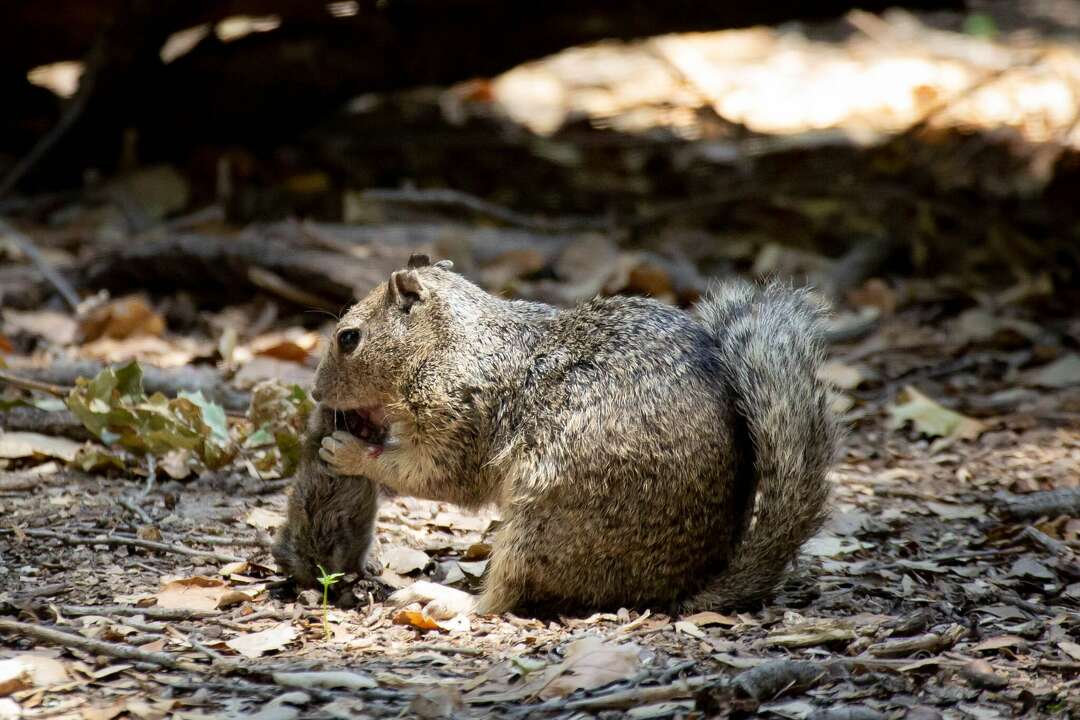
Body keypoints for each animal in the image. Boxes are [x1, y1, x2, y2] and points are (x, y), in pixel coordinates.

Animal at [273, 254, 840, 617]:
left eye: (349, 338)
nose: (318, 393)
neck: (452, 343)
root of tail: (674, 589)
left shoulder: (461, 418)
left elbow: (430, 475)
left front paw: (349, 451)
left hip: (544, 519)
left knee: (501, 600)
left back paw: (449, 599)